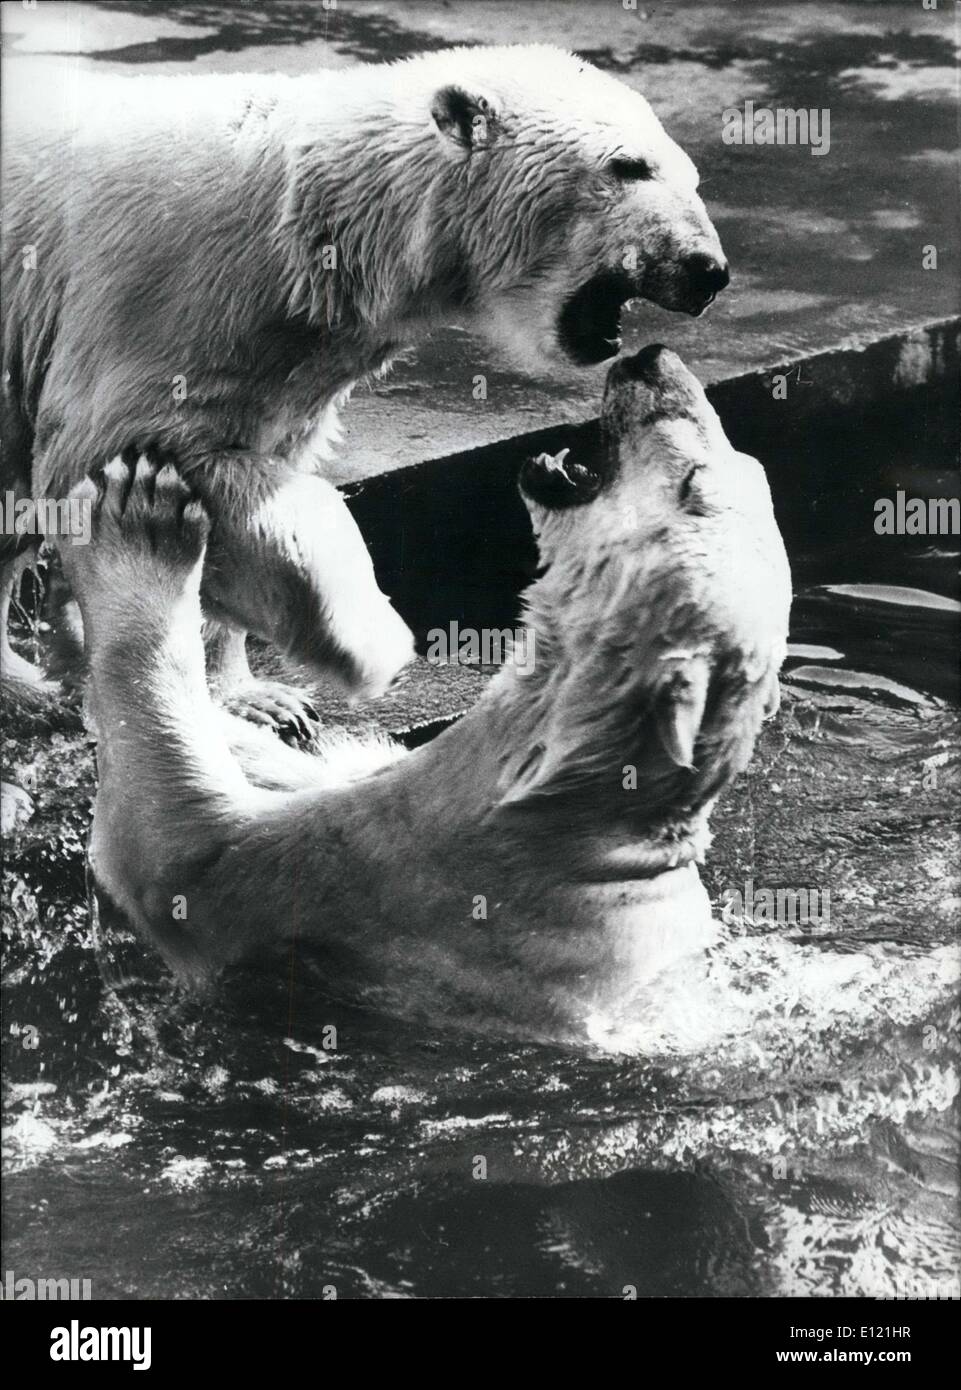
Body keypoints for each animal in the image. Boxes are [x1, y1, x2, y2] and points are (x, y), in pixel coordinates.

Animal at [1, 44, 728, 726]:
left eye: (691, 175)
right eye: (627, 166)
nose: (707, 269)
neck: (304, 223)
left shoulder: (283, 360)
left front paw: (260, 699)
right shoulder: (164, 300)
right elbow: (108, 452)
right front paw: (359, 643)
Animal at [58, 346, 789, 1049]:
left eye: (693, 484)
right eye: (748, 466)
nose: (651, 358)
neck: (565, 804)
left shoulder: (385, 868)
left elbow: (169, 844)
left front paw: (140, 517)